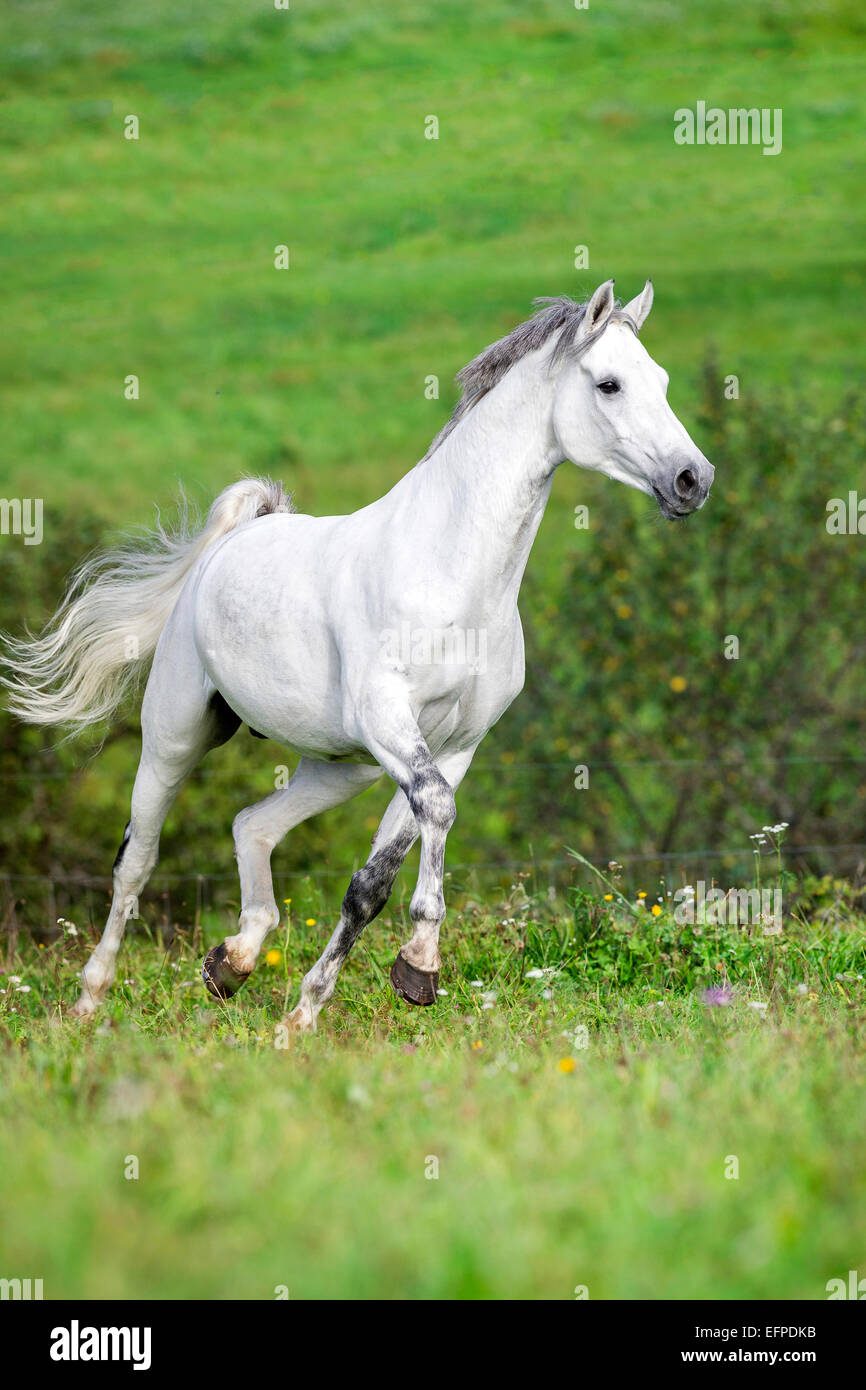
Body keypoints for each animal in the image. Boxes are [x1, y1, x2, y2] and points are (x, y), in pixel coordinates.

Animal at [1, 279, 714, 1029]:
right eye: (609, 384)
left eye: (662, 381)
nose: (693, 479)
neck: (450, 572)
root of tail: (237, 539)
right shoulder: (391, 722)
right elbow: (431, 818)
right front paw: (414, 965)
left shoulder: (452, 747)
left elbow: (375, 877)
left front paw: (320, 1009)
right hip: (175, 734)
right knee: (136, 859)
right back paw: (90, 997)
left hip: (341, 766)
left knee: (252, 825)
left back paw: (232, 963)